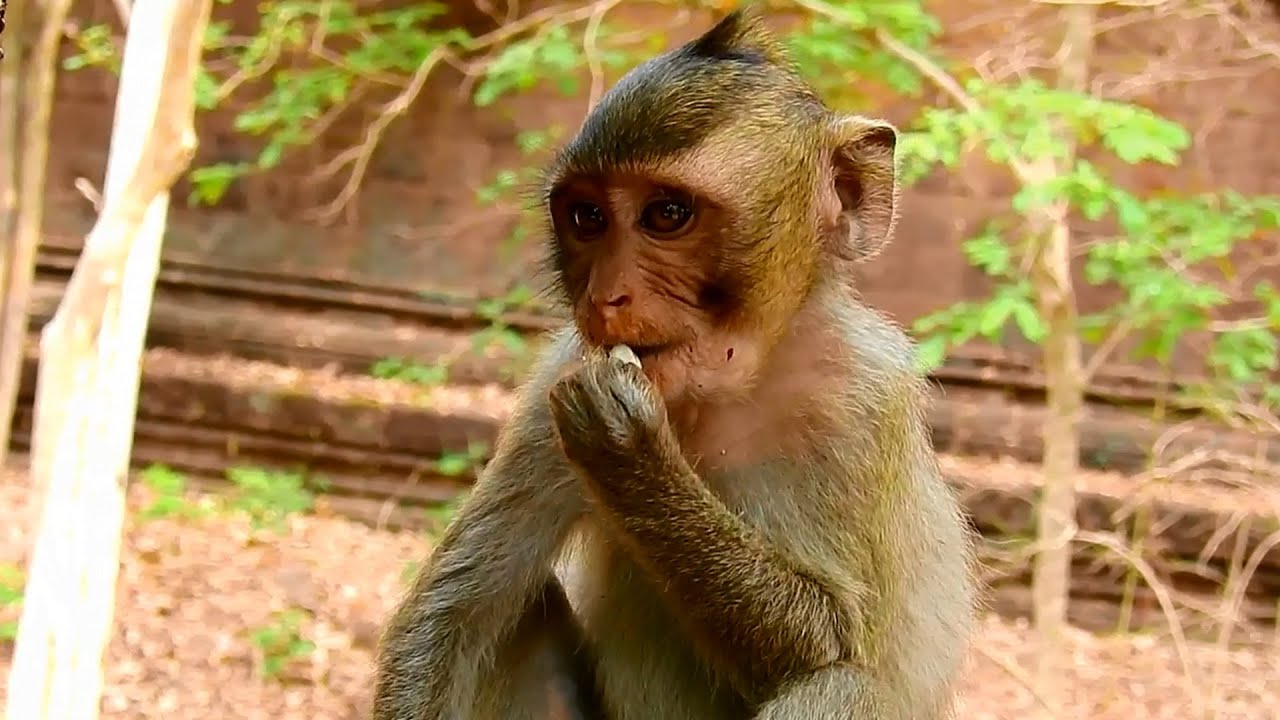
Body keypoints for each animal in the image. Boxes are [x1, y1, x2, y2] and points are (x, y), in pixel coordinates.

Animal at [373, 7, 976, 720]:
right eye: (587, 217)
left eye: (666, 214)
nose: (606, 297)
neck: (729, 385)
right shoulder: (560, 375)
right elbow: (453, 613)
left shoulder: (863, 402)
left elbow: (832, 636)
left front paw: (631, 455)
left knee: (845, 685)